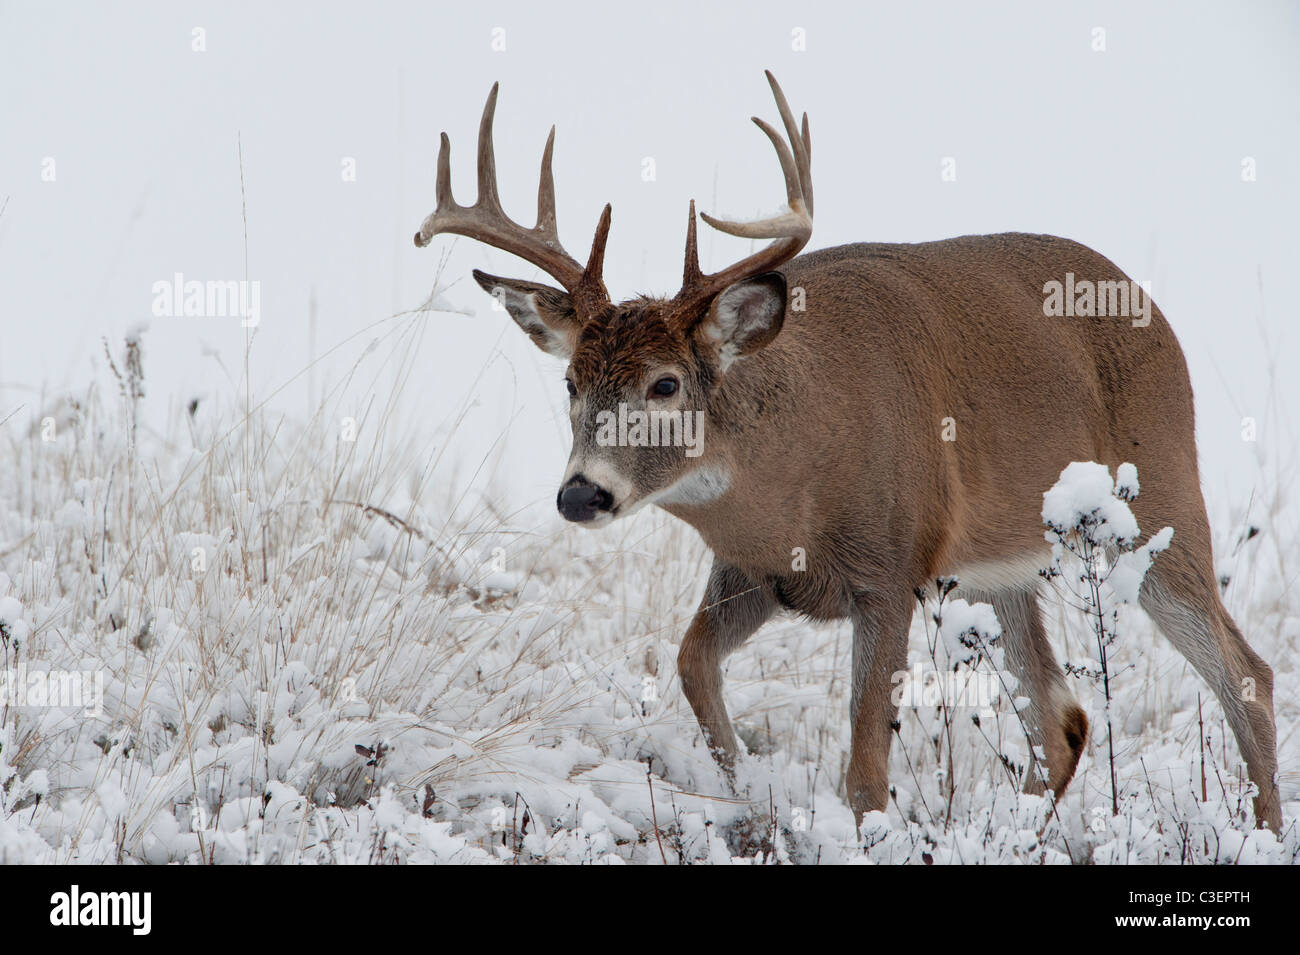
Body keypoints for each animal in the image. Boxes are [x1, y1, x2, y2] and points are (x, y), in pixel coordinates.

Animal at [413, 72, 1282, 832]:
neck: (788, 479)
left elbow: (865, 769)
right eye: (570, 380)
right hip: (1003, 561)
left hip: (1162, 491)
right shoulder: (755, 570)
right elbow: (692, 661)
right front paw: (743, 784)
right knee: (1061, 714)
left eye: (665, 383)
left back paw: (1264, 830)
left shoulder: (890, 569)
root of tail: (1149, 306)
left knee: (1248, 672)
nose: (580, 493)